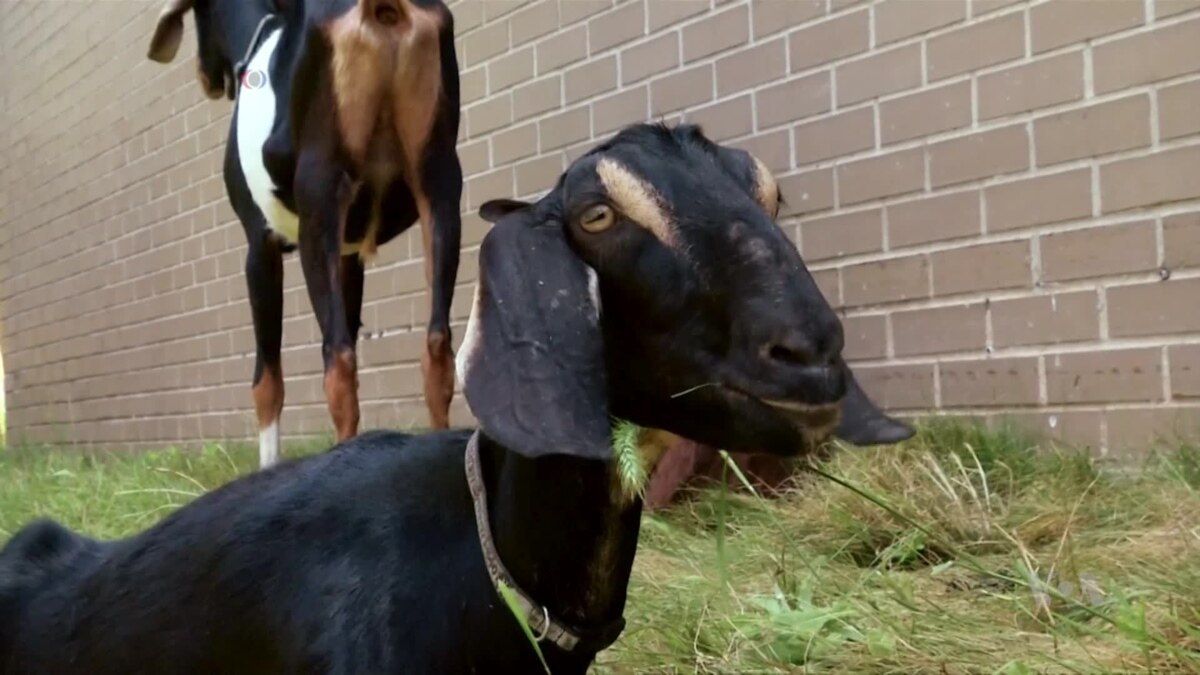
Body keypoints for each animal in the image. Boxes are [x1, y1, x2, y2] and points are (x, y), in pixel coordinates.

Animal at [146, 0, 463, 468]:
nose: (205, 79)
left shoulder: (259, 248)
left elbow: (267, 381)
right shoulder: (348, 256)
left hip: (319, 211)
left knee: (339, 363)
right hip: (439, 190)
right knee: (436, 348)